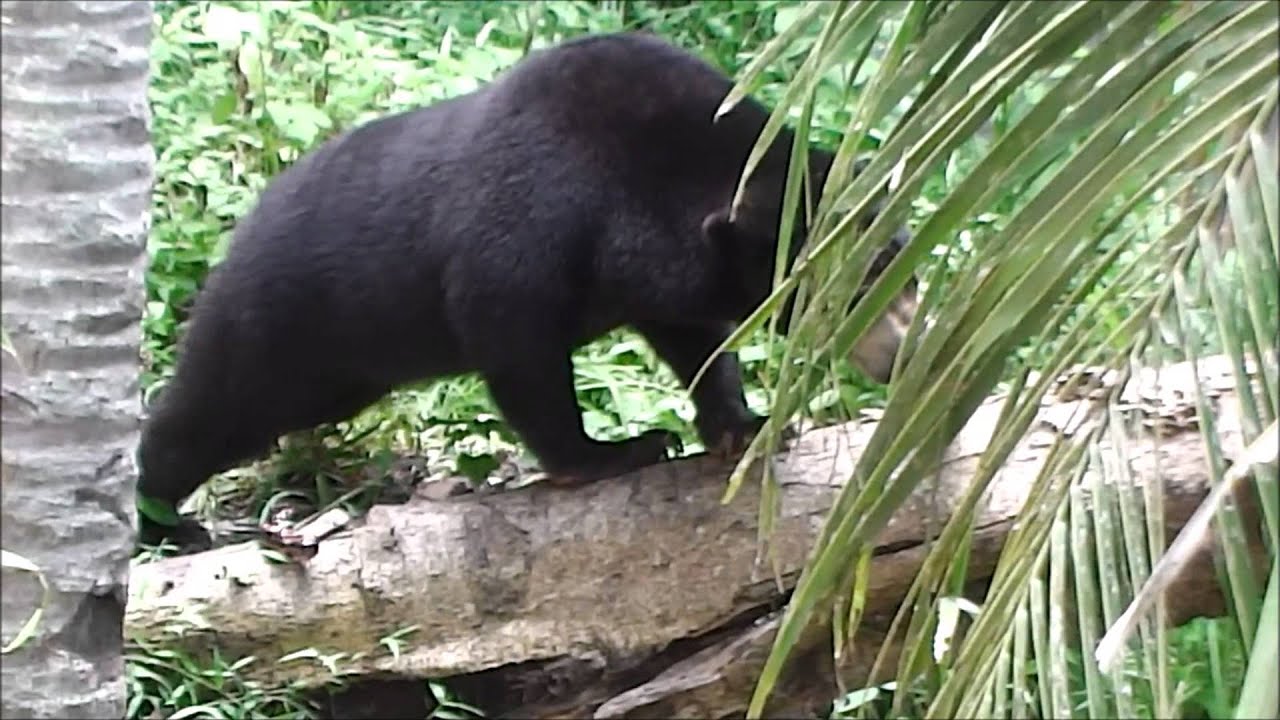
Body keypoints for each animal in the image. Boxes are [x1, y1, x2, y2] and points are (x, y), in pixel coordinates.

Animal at [137, 31, 916, 547]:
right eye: (850, 291)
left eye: (896, 256)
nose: (907, 350)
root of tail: (241, 230)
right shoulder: (528, 218)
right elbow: (514, 341)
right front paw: (616, 452)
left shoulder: (661, 269)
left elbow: (692, 335)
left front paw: (741, 426)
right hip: (281, 318)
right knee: (213, 408)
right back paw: (162, 521)